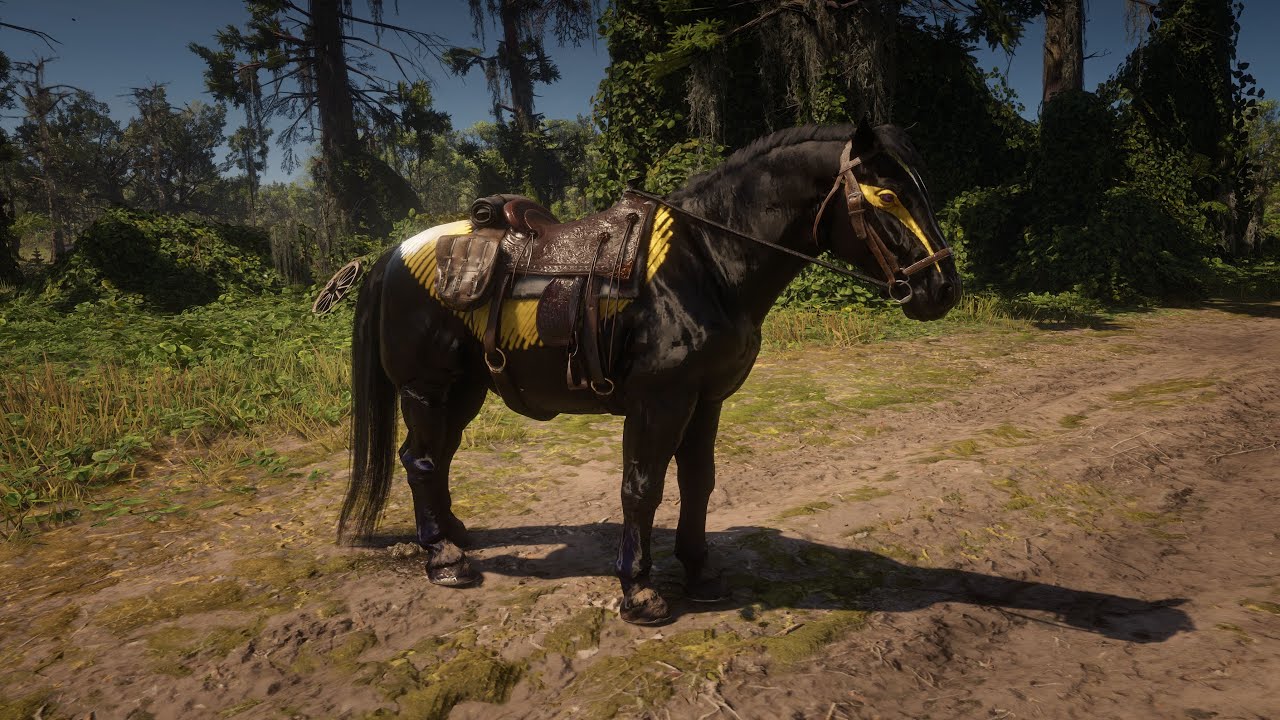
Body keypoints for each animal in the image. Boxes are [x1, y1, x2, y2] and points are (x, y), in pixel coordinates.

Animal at [339, 120, 962, 625]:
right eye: (887, 194)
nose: (943, 288)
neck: (707, 261)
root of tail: (392, 257)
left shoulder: (705, 401)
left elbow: (698, 483)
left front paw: (700, 573)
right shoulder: (658, 402)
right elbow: (641, 489)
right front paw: (638, 591)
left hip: (465, 391)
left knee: (439, 459)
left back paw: (453, 534)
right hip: (426, 389)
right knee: (420, 461)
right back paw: (443, 558)